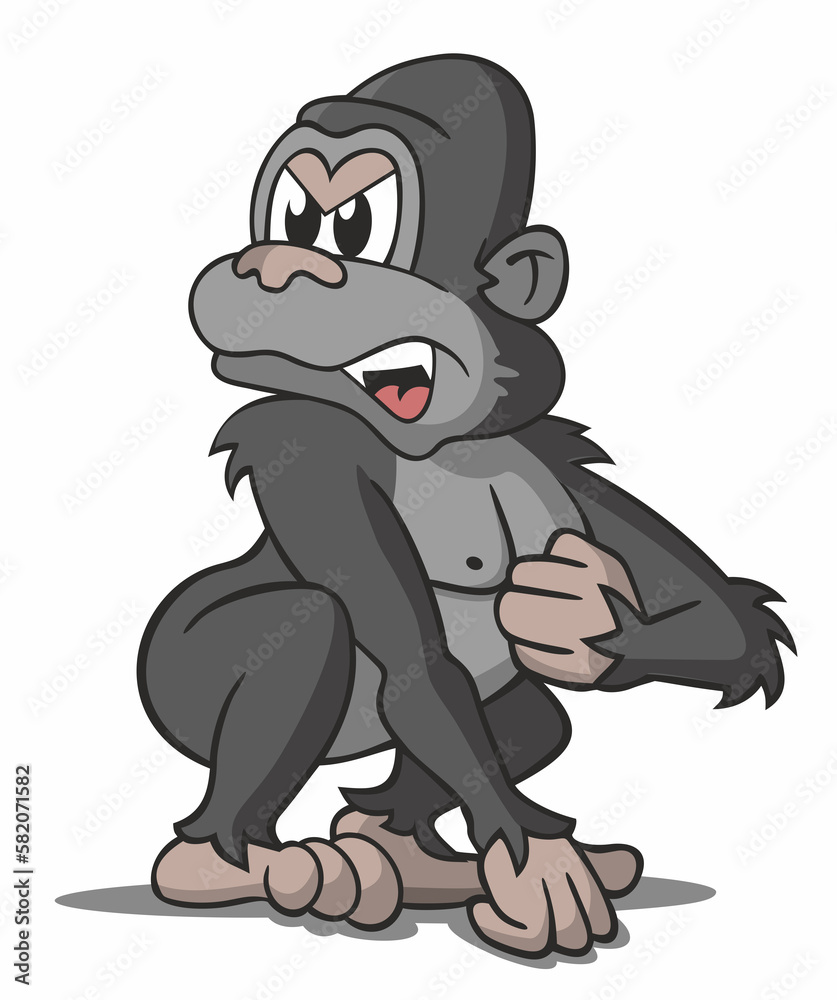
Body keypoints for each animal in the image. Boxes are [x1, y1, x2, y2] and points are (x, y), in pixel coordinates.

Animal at [137, 54, 793, 959]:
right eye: (292, 216)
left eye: (351, 227)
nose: (269, 267)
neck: (445, 443)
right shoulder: (309, 452)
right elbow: (413, 655)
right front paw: (533, 860)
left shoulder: (559, 465)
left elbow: (719, 616)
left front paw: (579, 623)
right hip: (178, 675)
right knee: (308, 624)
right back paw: (244, 865)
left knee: (530, 722)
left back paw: (404, 854)